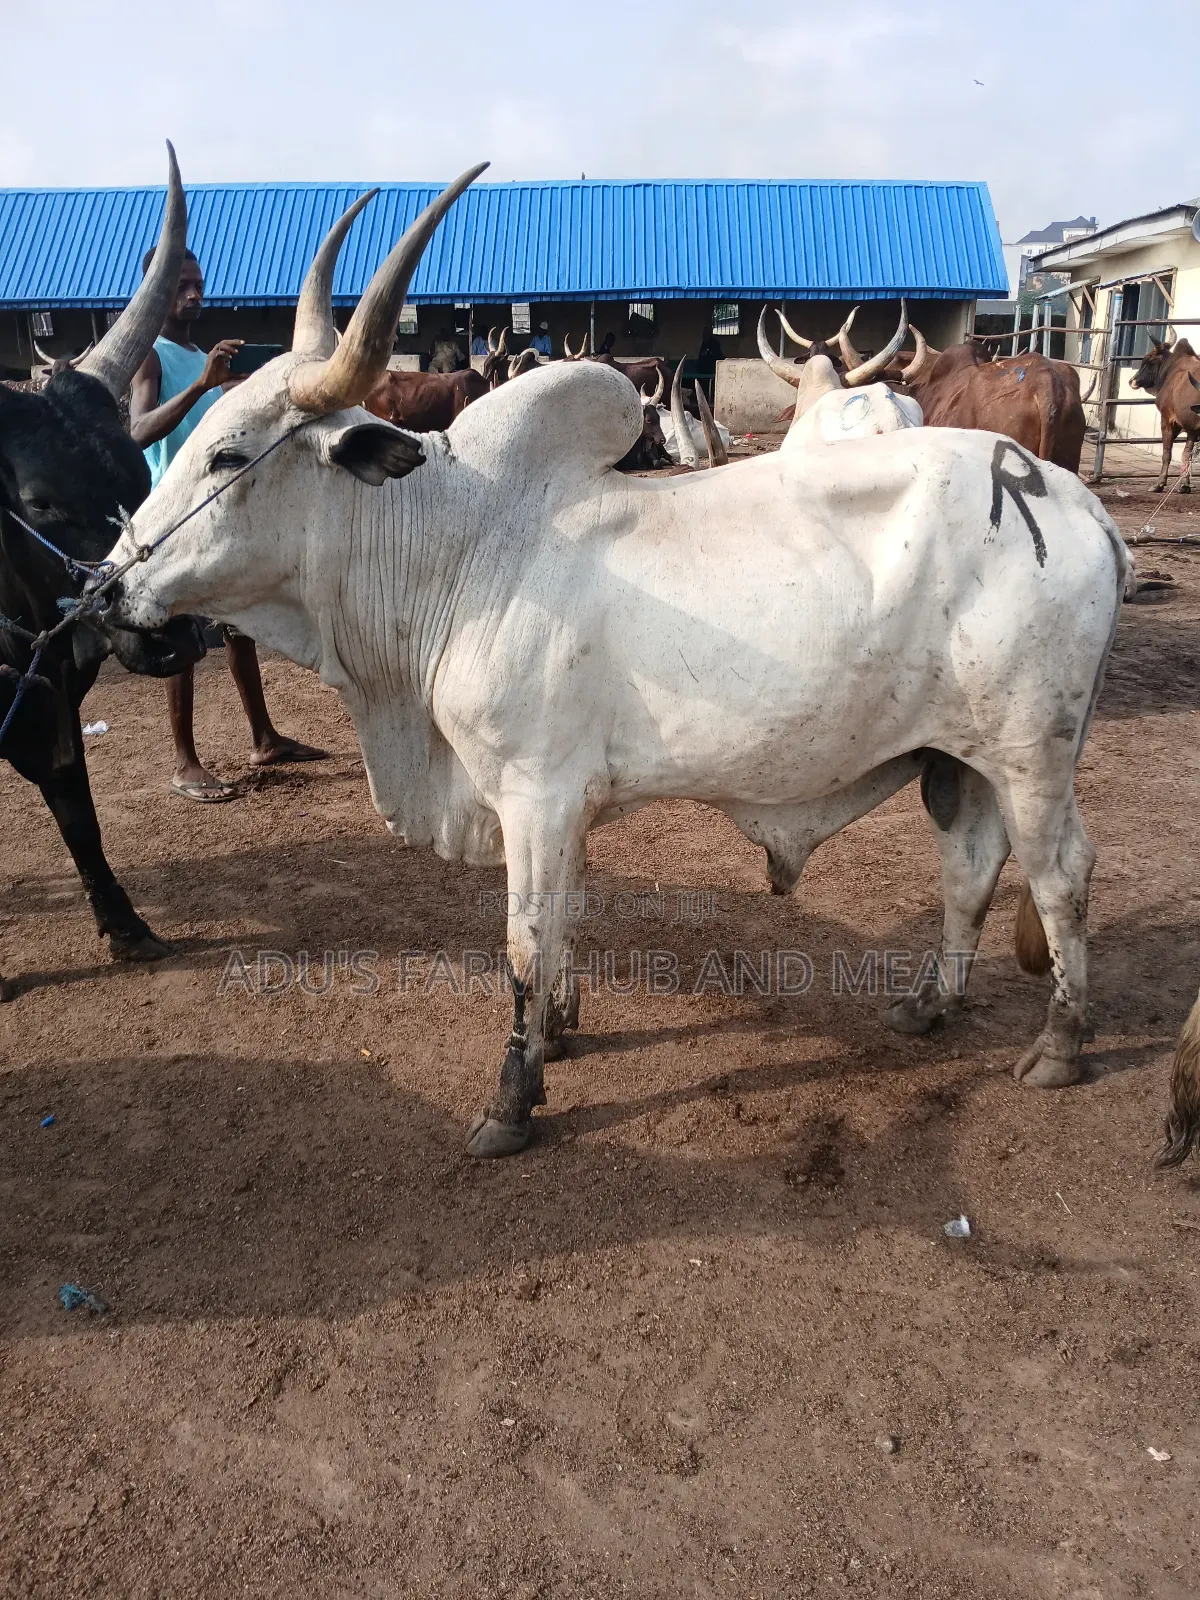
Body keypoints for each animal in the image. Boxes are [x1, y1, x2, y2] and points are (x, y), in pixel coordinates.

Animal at [103, 168, 1128, 1162]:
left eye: (227, 455)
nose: (108, 590)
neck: (464, 548)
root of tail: (1077, 503)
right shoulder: (567, 804)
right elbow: (568, 922)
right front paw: (559, 1032)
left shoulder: (534, 793)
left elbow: (525, 941)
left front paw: (511, 1101)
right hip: (959, 756)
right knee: (972, 865)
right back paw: (928, 1004)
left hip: (1033, 754)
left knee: (1061, 874)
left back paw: (1059, 1045)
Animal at [1129, 339, 1200, 493]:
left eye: (1147, 361)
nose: (1131, 381)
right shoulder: (1192, 428)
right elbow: (1187, 455)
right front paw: (1185, 485)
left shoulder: (1167, 420)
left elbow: (1167, 454)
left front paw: (1159, 484)